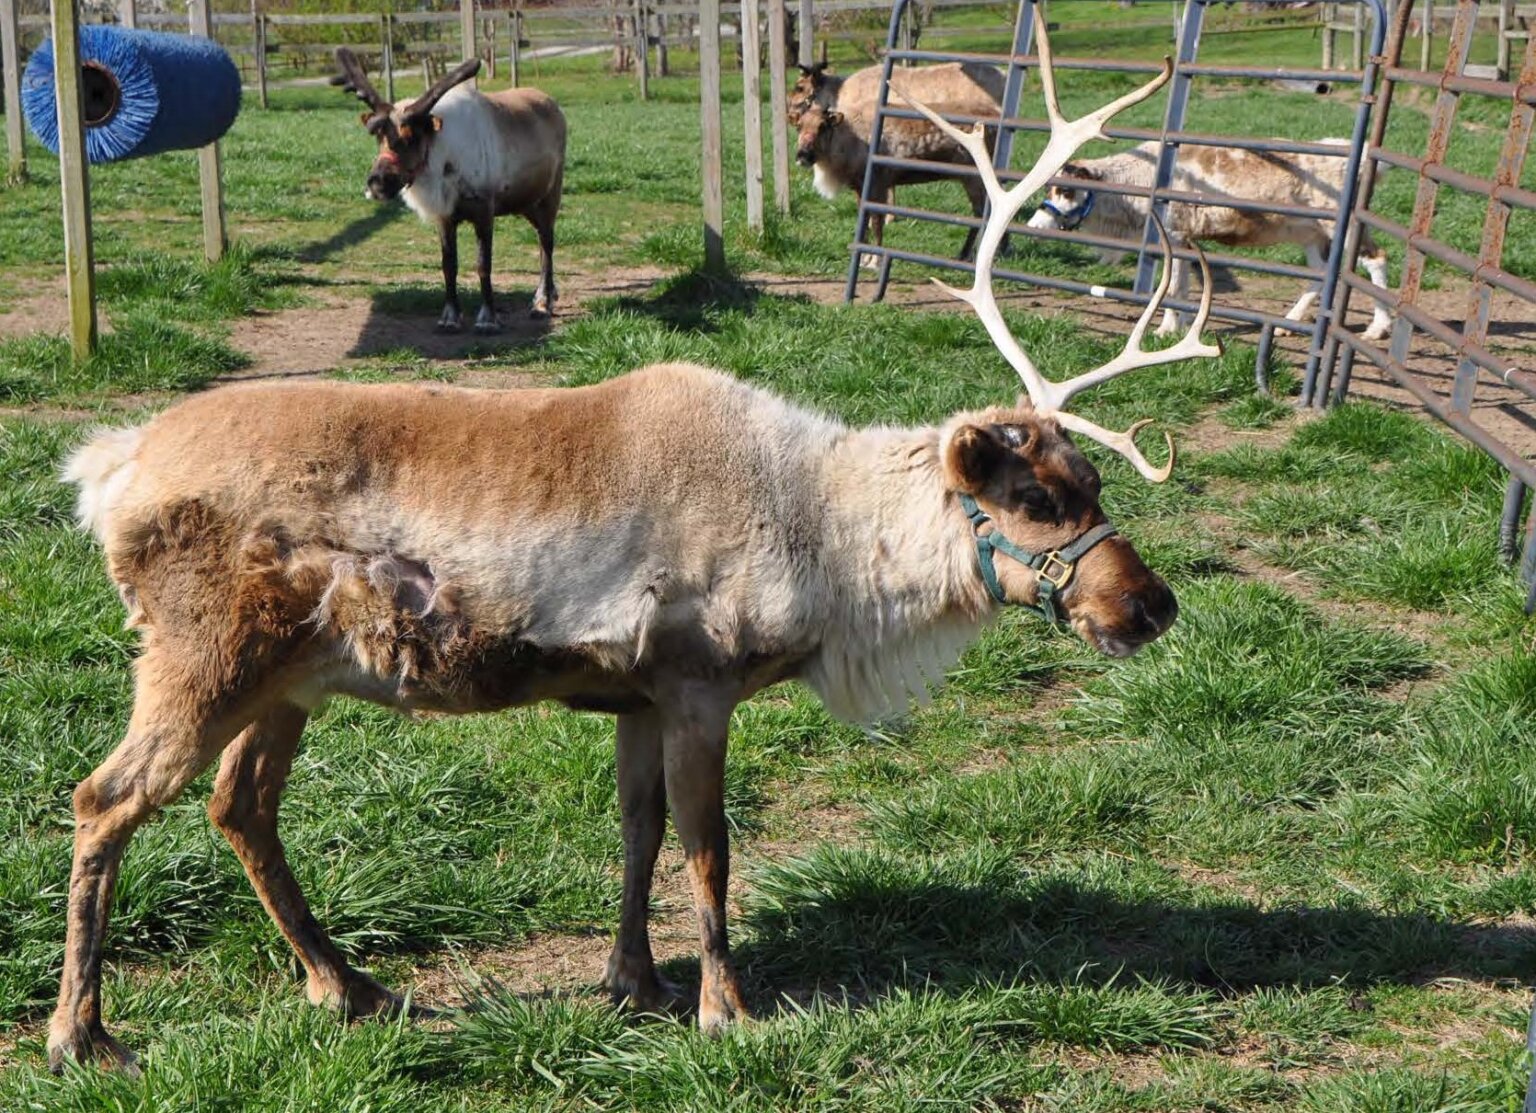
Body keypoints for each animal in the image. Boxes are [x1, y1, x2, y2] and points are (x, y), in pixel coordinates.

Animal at [333, 50, 566, 333]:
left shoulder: (484, 209)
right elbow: (448, 266)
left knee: (548, 243)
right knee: (542, 242)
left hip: (550, 195)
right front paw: (450, 318)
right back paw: (546, 297)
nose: (377, 183)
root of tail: (554, 105)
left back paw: (543, 302)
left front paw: (487, 319)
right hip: (527, 203)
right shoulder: (444, 217)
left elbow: (483, 265)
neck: (443, 158)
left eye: (411, 137)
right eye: (378, 137)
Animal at [1025, 139, 1394, 341]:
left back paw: (1379, 328)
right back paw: (1289, 323)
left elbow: (1173, 287)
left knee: (1376, 259)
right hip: (1310, 234)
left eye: (1067, 190)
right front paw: (1182, 324)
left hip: (1343, 229)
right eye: (1050, 188)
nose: (1035, 223)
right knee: (1319, 274)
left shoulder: (1175, 234)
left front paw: (1163, 330)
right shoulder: (1185, 240)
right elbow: (1183, 287)